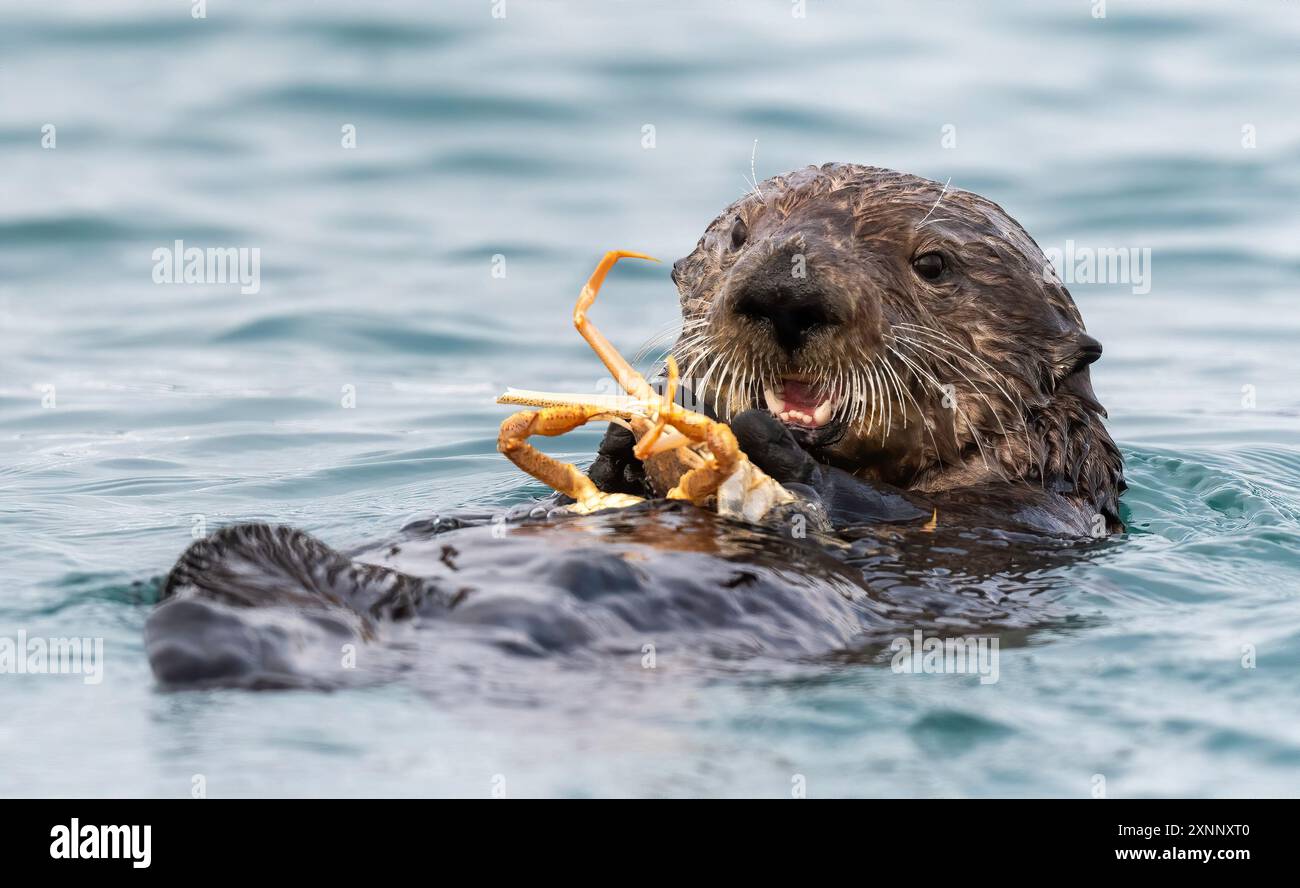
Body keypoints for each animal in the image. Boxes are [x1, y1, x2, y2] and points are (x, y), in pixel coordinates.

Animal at [589, 163, 1124, 536]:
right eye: (739, 234)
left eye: (933, 264)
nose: (784, 294)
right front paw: (627, 439)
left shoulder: (1033, 508)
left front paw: (771, 453)